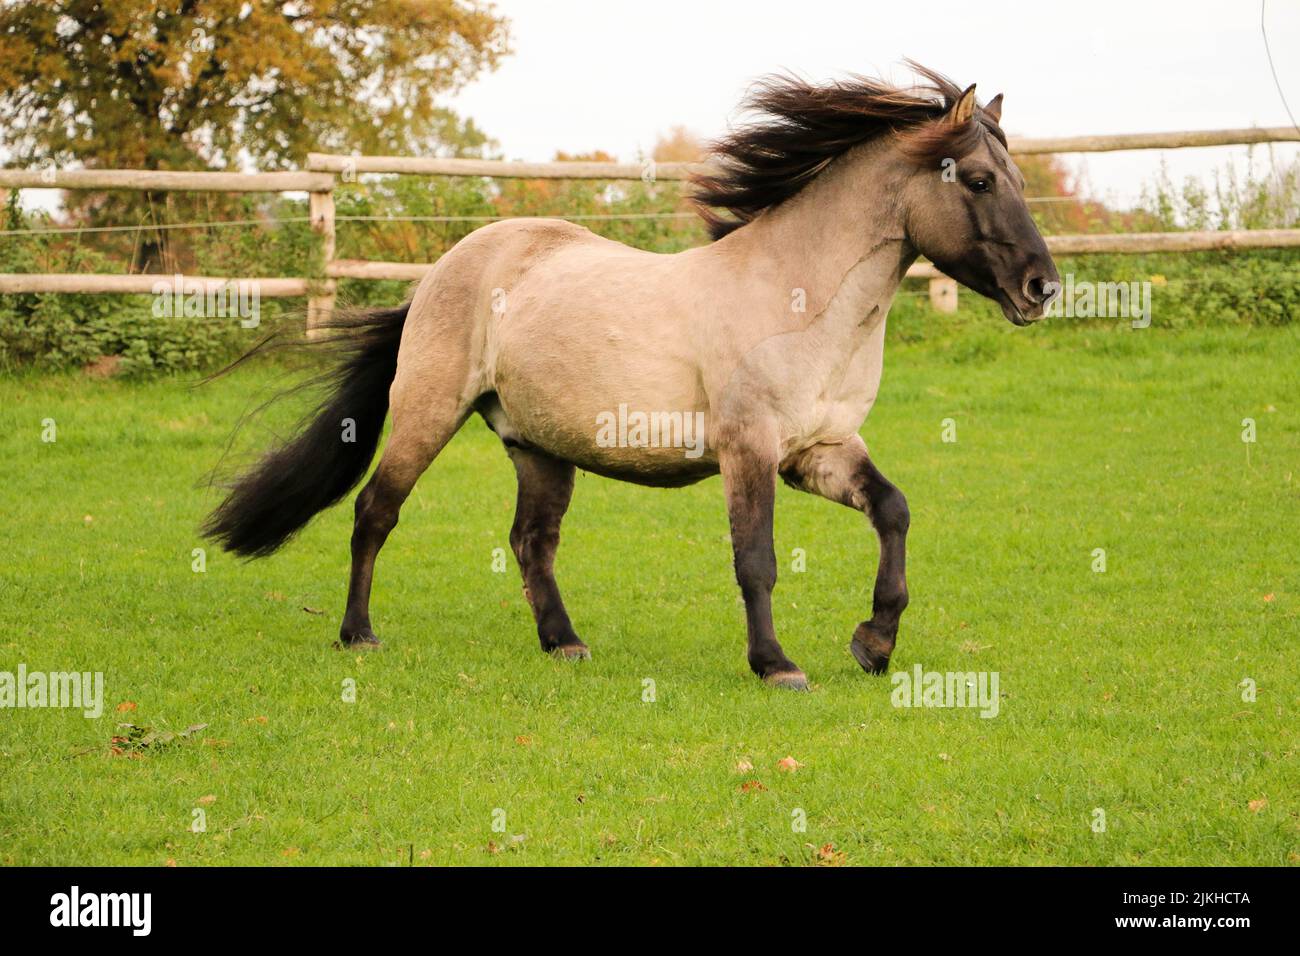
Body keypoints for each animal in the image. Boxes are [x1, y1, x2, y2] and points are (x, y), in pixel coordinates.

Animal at [204, 64, 1059, 691]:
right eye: (978, 180)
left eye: (1015, 178)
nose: (1042, 288)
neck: (797, 299)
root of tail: (450, 266)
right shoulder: (749, 450)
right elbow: (756, 560)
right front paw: (776, 665)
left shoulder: (819, 452)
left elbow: (894, 512)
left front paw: (874, 644)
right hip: (428, 414)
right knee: (375, 513)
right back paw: (359, 635)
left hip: (539, 447)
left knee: (531, 543)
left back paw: (565, 643)